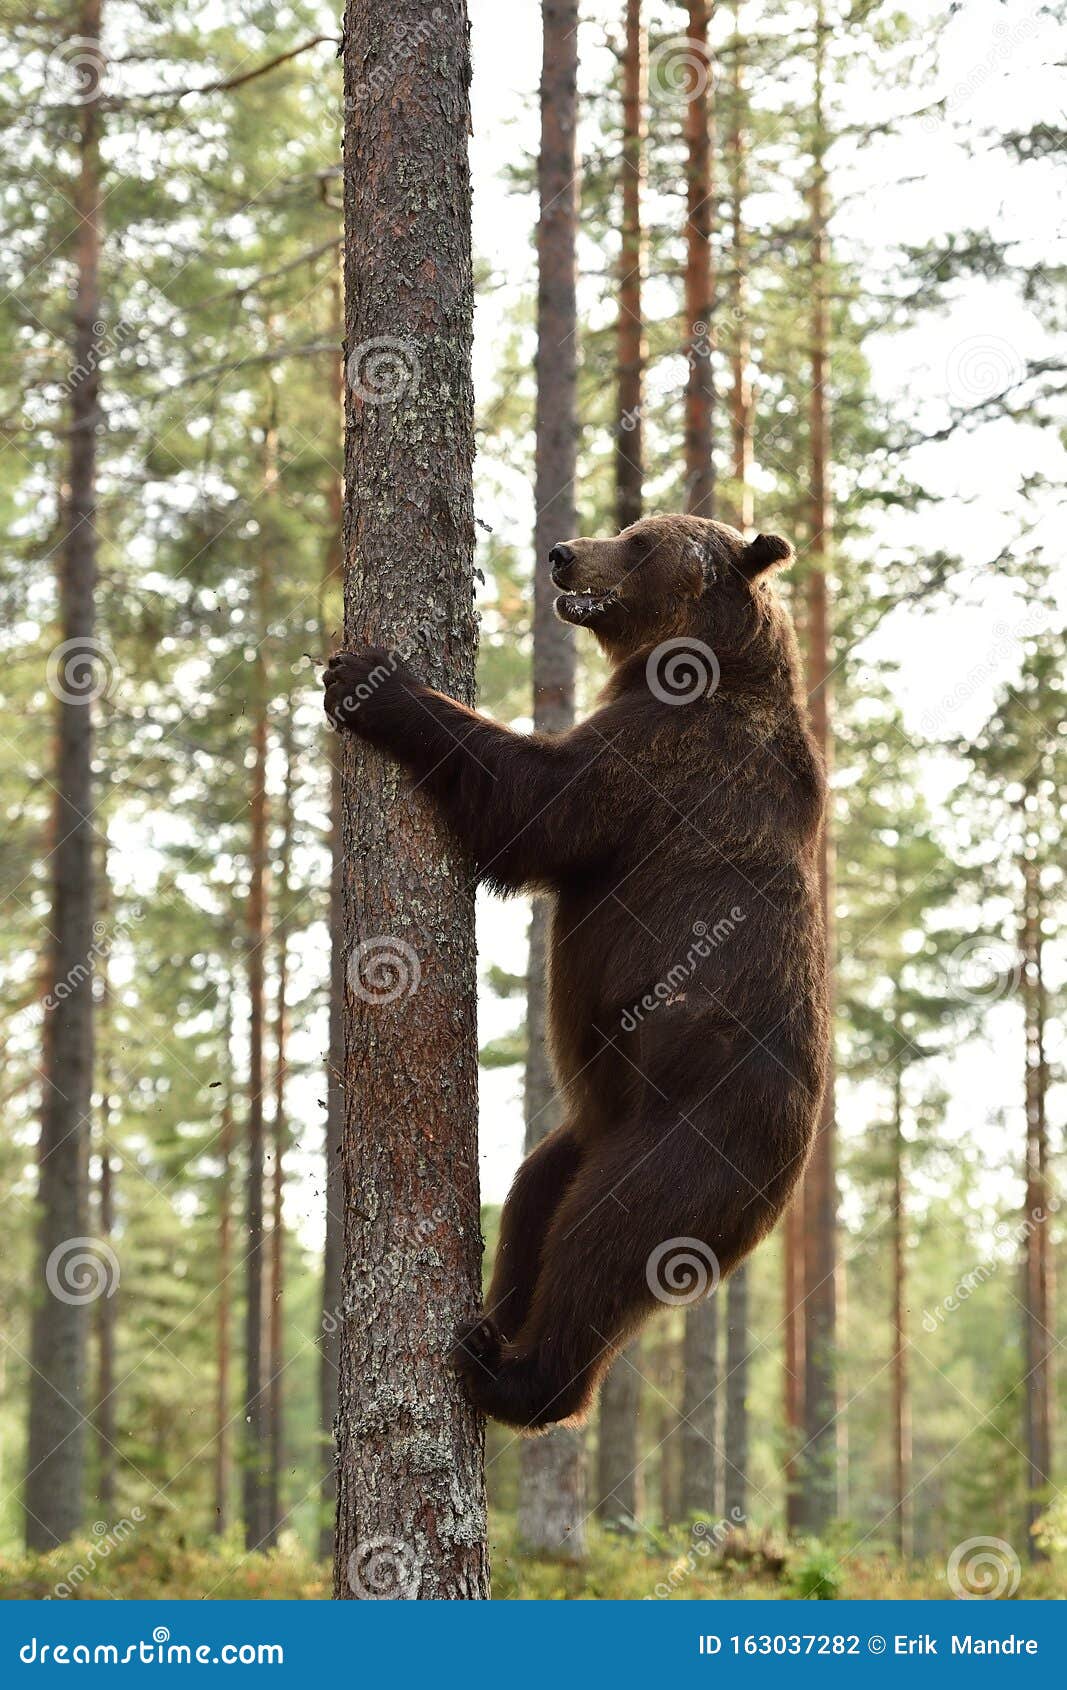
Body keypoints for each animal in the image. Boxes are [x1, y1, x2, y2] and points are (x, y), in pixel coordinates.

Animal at [323, 512, 829, 1432]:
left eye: (640, 541)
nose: (562, 555)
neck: (696, 658)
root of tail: (791, 1182)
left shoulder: (665, 757)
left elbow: (537, 803)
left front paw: (370, 678)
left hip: (694, 1129)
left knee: (606, 1240)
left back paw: (517, 1378)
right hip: (593, 1126)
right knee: (535, 1198)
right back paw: (490, 1325)